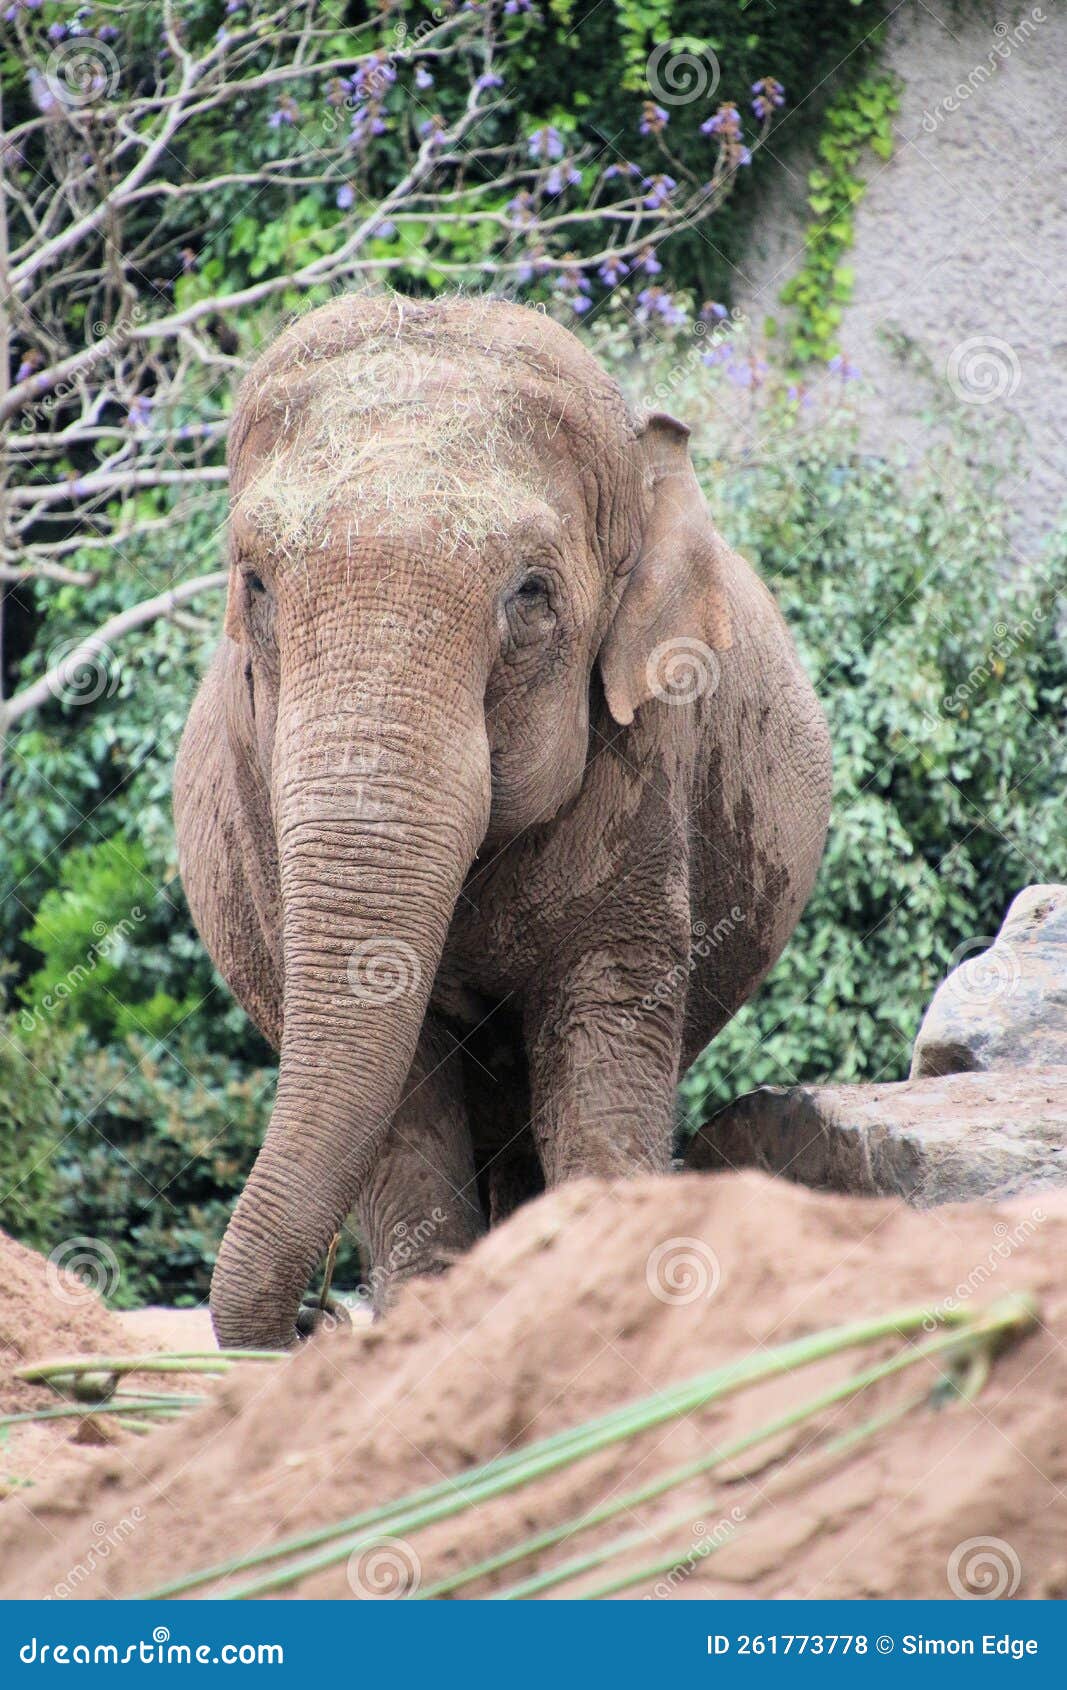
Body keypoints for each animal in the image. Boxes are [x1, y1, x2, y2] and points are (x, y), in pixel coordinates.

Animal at [174, 291, 831, 1350]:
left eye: (530, 595)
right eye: (255, 583)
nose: (319, 1316)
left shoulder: (645, 770)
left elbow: (604, 1026)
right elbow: (405, 1083)